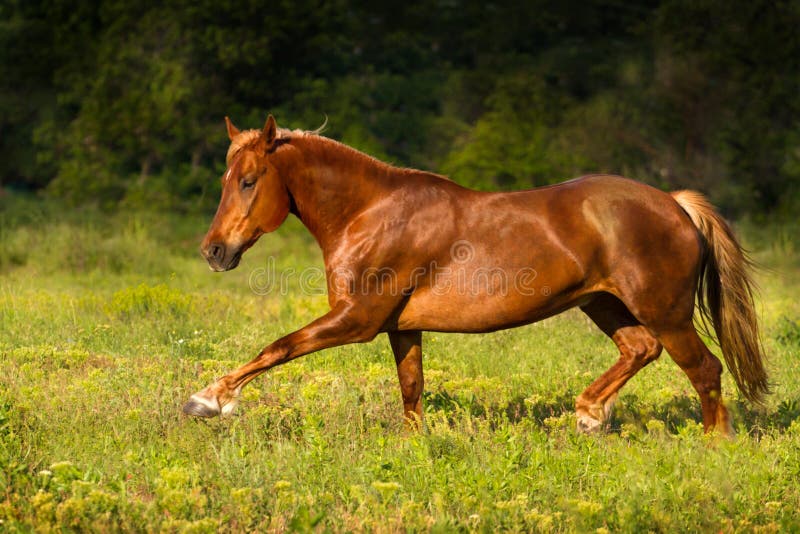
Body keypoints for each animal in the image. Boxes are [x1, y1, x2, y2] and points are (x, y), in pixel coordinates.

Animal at [182, 115, 768, 435]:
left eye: (250, 180)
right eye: (226, 177)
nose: (214, 251)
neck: (369, 213)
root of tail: (674, 203)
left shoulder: (357, 320)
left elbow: (277, 347)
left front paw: (208, 401)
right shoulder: (401, 327)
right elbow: (412, 389)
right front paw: (413, 448)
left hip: (665, 312)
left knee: (704, 370)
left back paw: (714, 446)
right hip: (605, 304)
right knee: (641, 349)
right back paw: (588, 414)